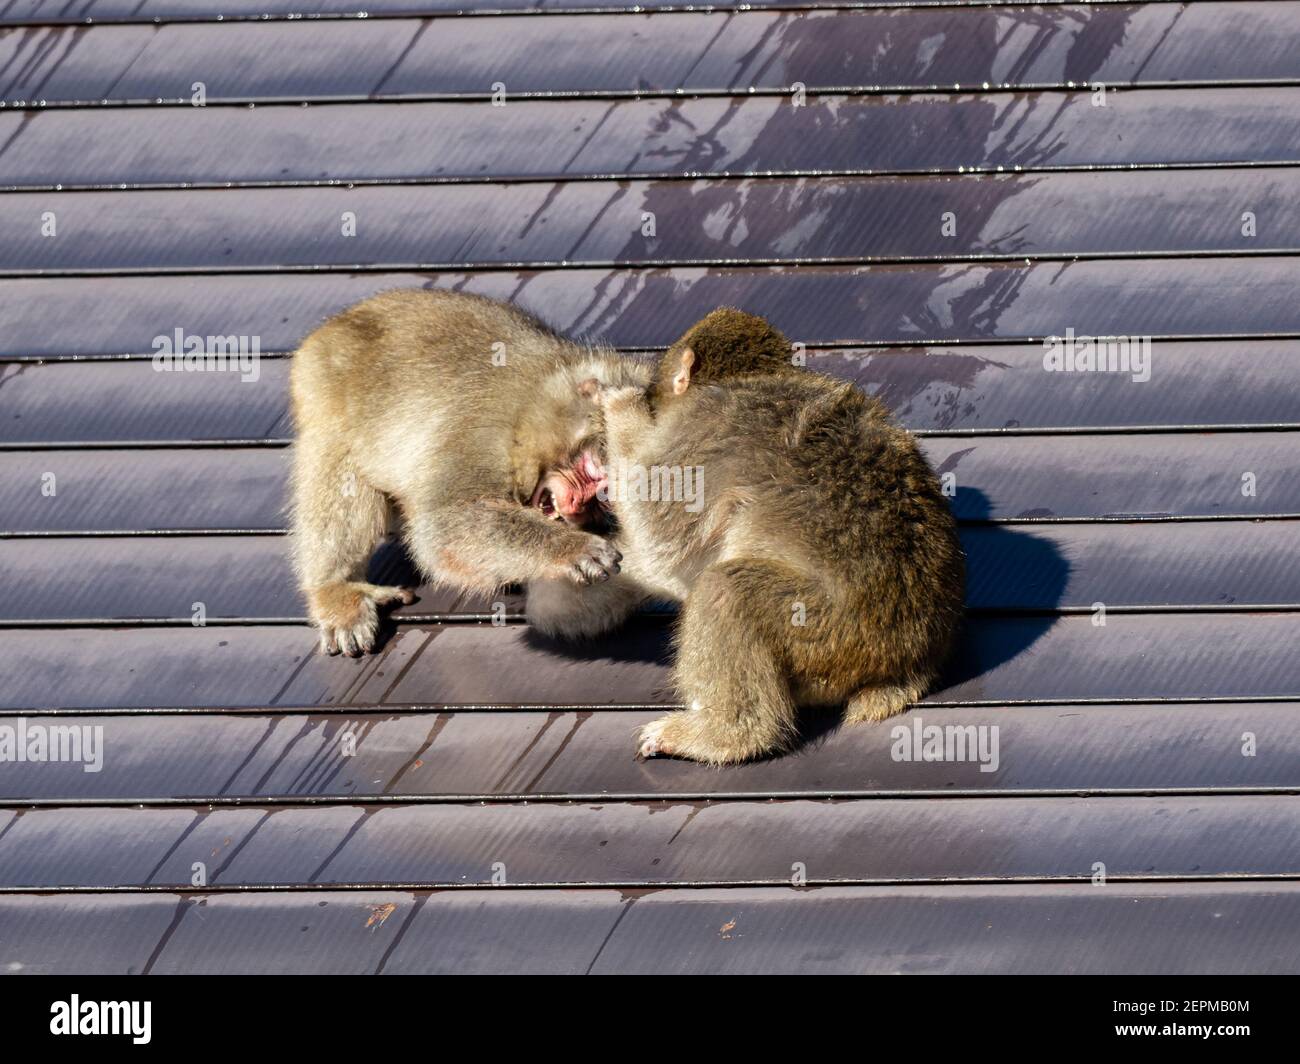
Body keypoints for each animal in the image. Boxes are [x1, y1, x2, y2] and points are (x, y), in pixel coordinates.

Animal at [289, 289, 649, 655]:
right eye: (590, 475)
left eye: (601, 500)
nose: (579, 507)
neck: (536, 399)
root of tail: (343, 319)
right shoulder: (484, 434)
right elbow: (444, 527)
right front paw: (574, 548)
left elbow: (553, 606)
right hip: (324, 382)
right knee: (341, 465)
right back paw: (336, 587)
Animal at [574, 310, 966, 765]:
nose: (649, 400)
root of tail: (910, 662)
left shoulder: (700, 426)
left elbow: (660, 544)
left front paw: (618, 402)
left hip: (828, 633)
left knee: (727, 590)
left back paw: (730, 734)